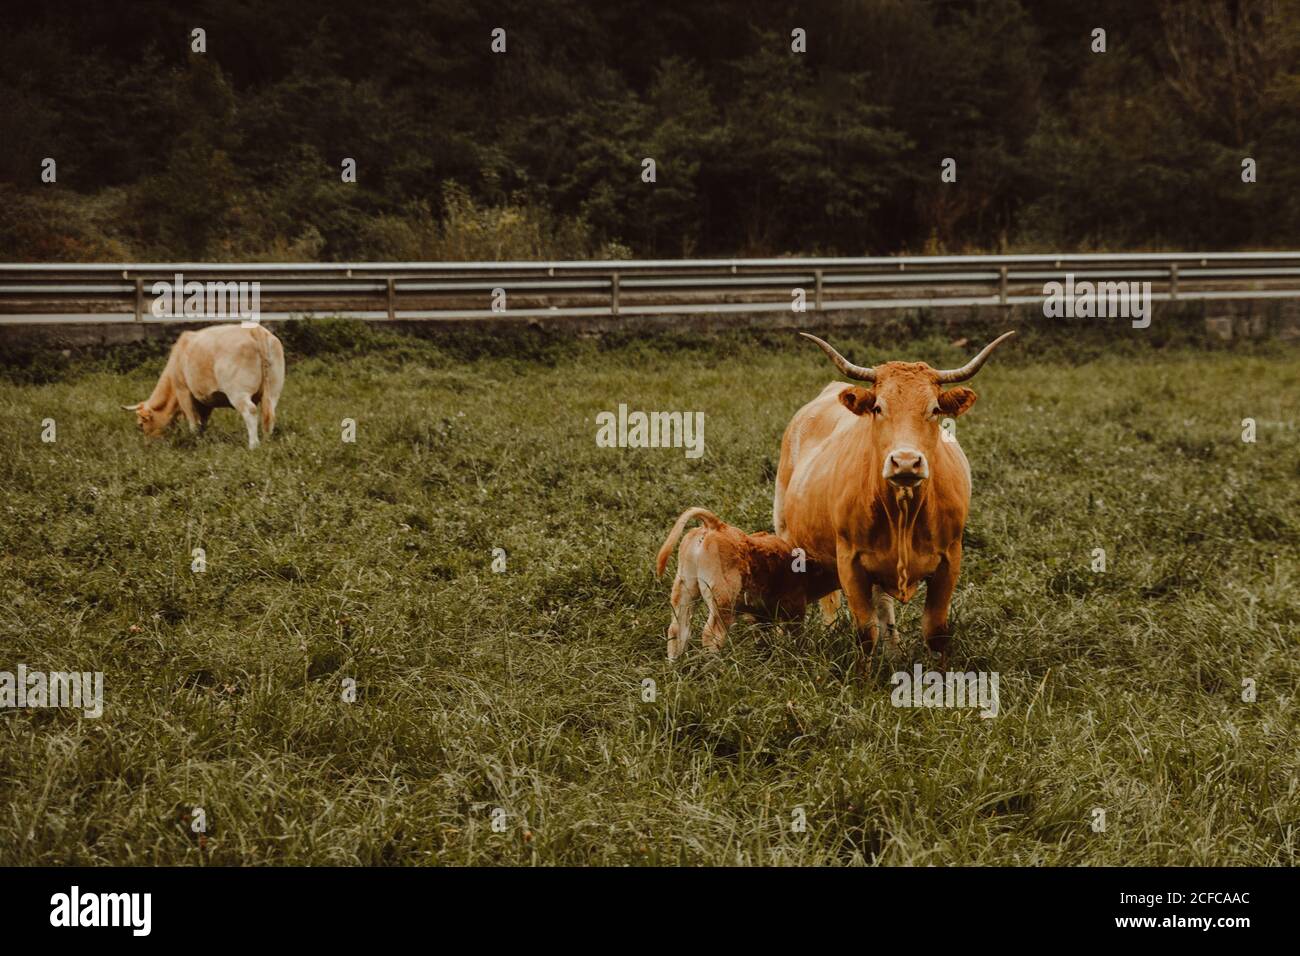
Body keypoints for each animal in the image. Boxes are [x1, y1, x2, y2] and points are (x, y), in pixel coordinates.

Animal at [121, 324, 285, 449]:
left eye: (141, 425)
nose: (148, 445)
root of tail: (254, 330)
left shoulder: (183, 391)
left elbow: (193, 421)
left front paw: (195, 441)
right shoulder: (206, 400)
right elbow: (203, 421)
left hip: (238, 393)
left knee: (250, 411)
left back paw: (253, 445)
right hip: (273, 391)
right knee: (269, 414)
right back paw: (266, 441)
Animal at [655, 507, 840, 661]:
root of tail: (715, 526)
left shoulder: (761, 615)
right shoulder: (794, 607)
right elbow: (795, 635)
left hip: (685, 589)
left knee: (677, 629)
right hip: (722, 602)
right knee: (711, 634)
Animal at [773, 331, 1015, 665]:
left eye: (935, 410)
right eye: (878, 408)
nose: (905, 462)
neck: (904, 510)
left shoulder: (950, 559)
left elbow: (935, 631)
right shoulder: (849, 561)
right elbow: (865, 632)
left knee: (882, 603)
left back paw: (892, 649)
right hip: (786, 532)